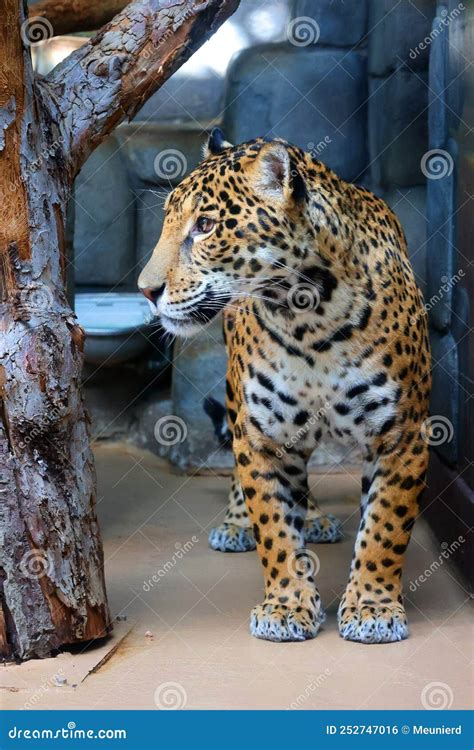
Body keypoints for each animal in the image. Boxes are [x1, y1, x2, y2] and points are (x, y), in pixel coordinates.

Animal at [138, 128, 431, 645]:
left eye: (205, 225)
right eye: (168, 222)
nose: (145, 290)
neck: (309, 319)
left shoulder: (402, 436)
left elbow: (384, 528)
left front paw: (373, 608)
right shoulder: (264, 438)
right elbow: (274, 530)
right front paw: (287, 606)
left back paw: (313, 518)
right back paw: (236, 524)